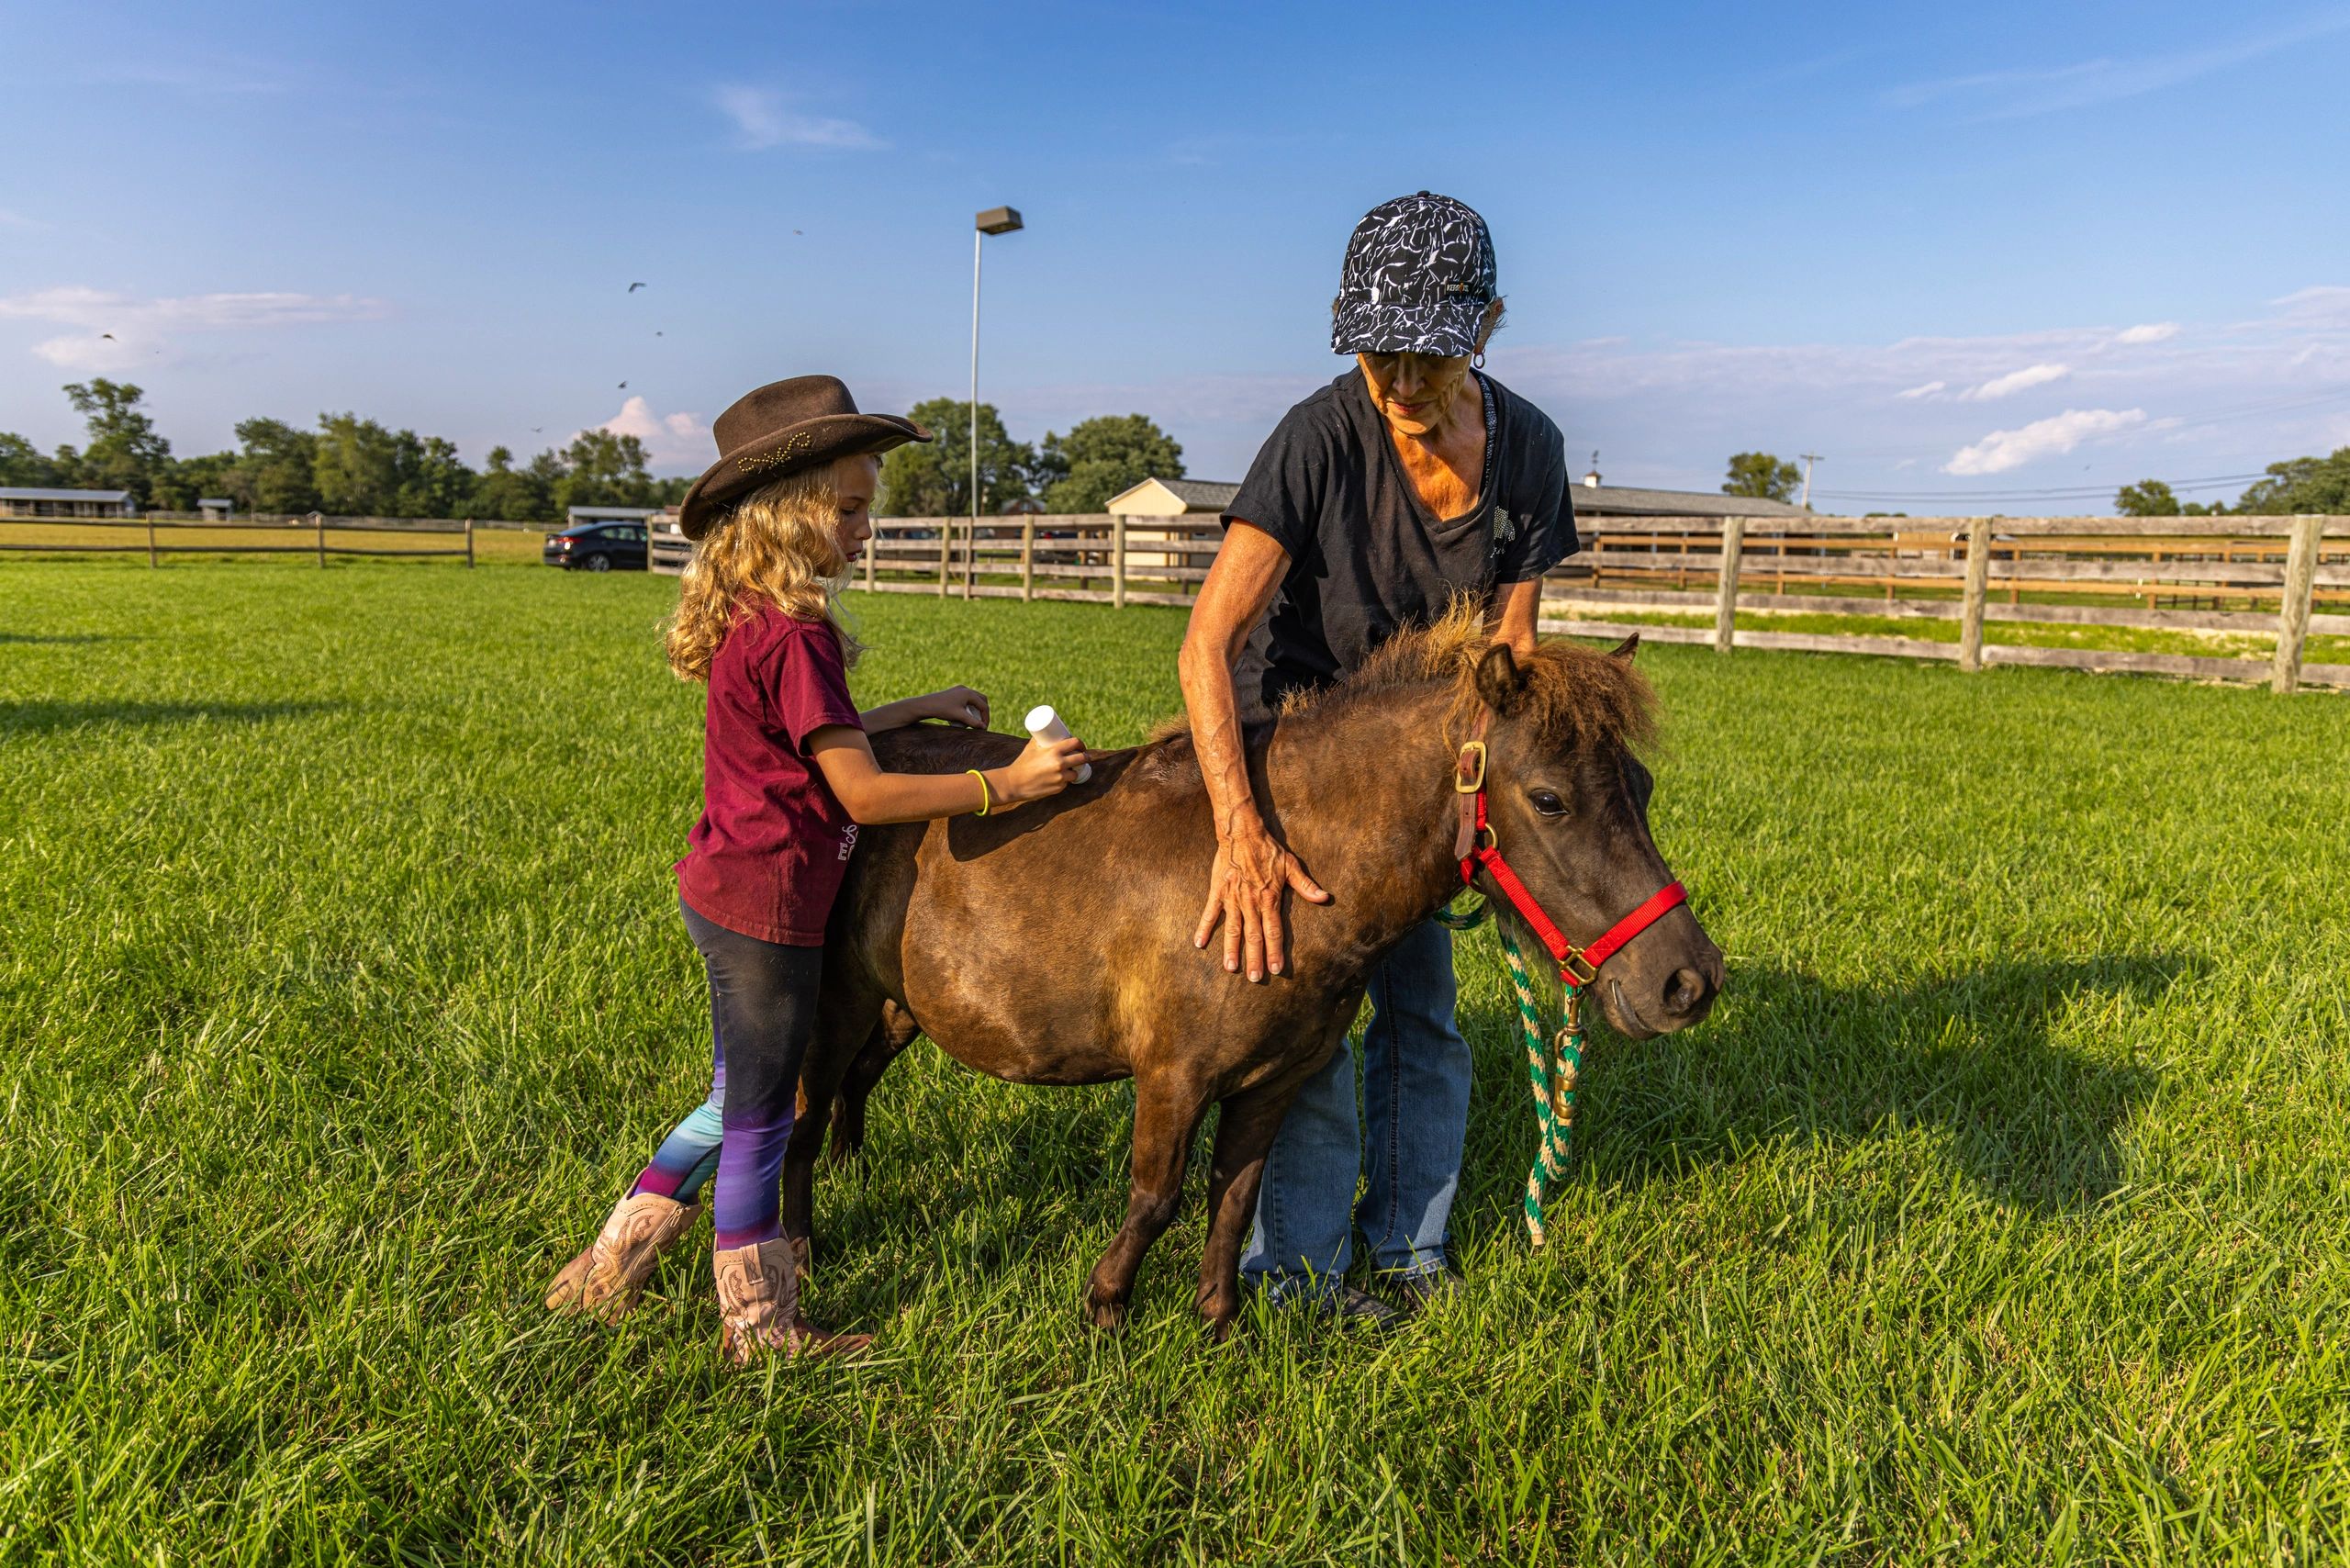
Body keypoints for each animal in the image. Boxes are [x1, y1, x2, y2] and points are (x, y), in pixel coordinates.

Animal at [781, 607, 1724, 1334]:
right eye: (1549, 799)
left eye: (1640, 786)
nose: (1689, 980)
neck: (1279, 880)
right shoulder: (1173, 1076)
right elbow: (1156, 1196)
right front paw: (1106, 1308)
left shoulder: (1272, 1081)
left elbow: (1233, 1199)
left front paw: (1218, 1320)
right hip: (838, 999)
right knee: (803, 1112)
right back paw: (799, 1249)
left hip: (905, 1004)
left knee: (855, 1085)